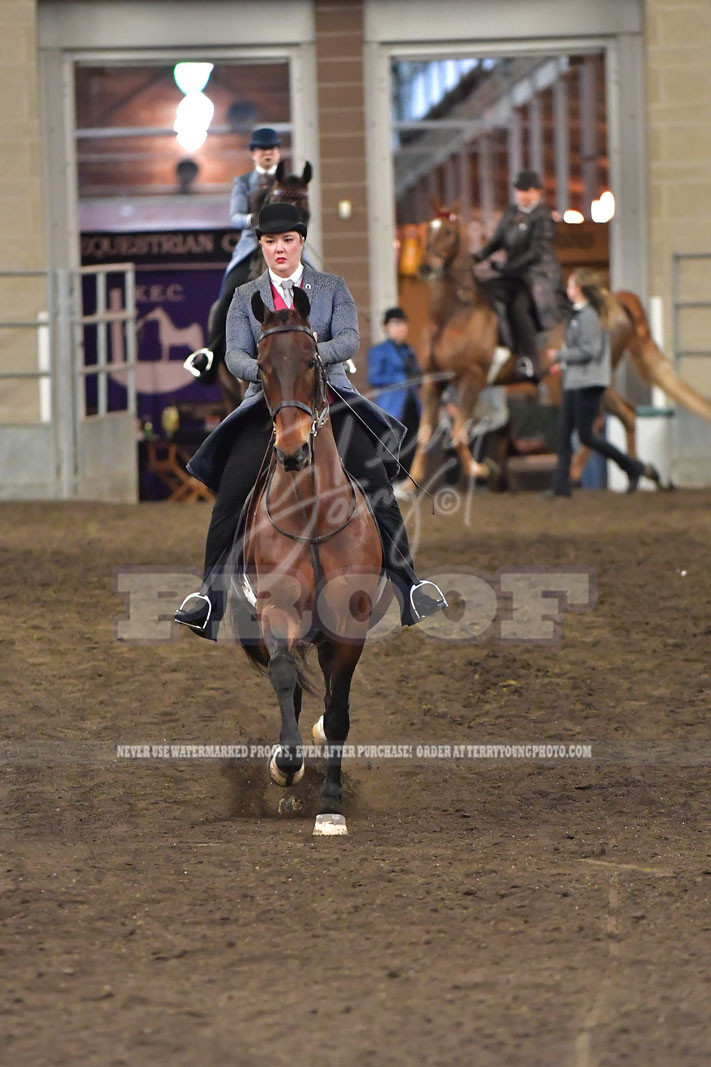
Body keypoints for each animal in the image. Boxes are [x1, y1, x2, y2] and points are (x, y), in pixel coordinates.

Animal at [234, 286, 384, 829]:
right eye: (261, 366)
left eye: (311, 360)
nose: (294, 451)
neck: (314, 517)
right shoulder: (276, 609)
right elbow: (284, 679)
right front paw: (287, 766)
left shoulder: (349, 622)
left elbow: (339, 711)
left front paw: (332, 804)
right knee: (292, 682)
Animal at [409, 202, 711, 488]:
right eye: (425, 230)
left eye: (448, 231)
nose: (426, 268)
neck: (453, 314)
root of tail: (612, 301)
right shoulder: (433, 381)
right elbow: (425, 433)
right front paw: (410, 483)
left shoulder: (474, 377)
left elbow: (459, 431)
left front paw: (480, 469)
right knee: (625, 414)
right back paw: (638, 474)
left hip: (582, 381)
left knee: (596, 422)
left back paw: (580, 475)